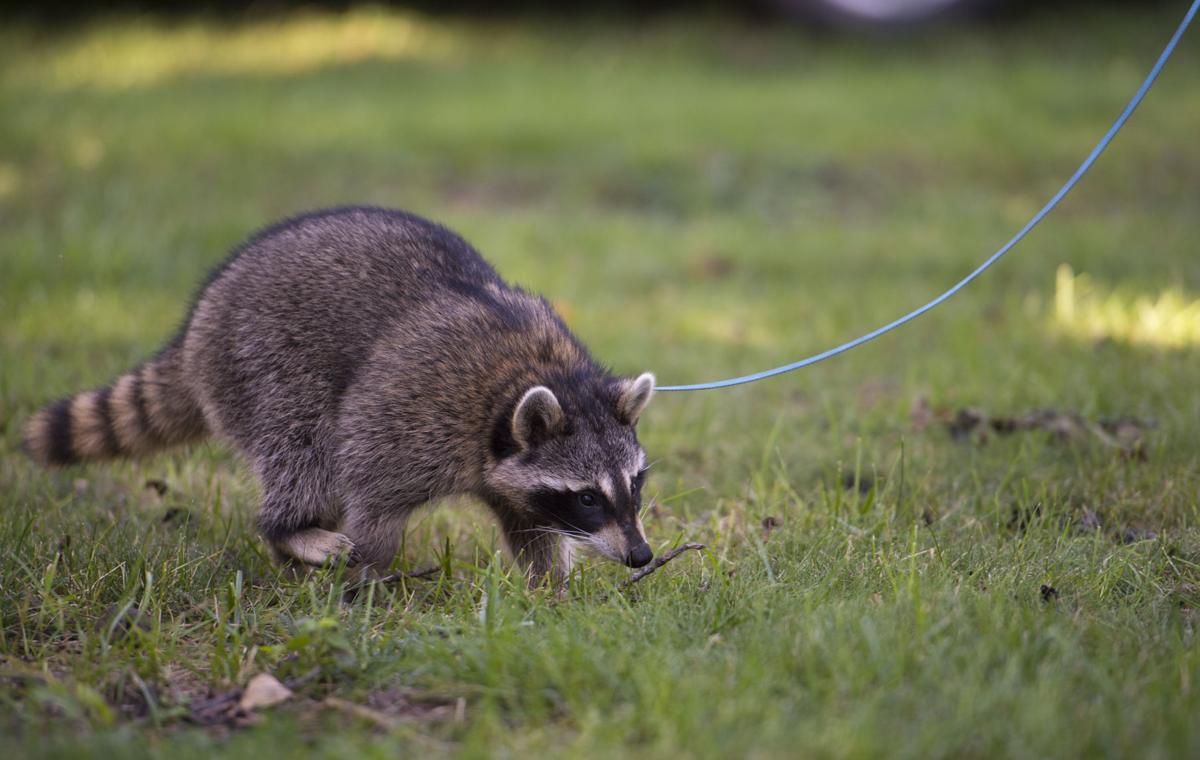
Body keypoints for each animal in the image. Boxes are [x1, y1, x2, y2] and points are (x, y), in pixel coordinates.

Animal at [23, 207, 657, 581]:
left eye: (634, 485)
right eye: (587, 498)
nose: (642, 556)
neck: (535, 372)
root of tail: (197, 324)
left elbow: (530, 526)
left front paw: (551, 594)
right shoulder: (414, 404)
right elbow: (367, 479)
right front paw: (369, 573)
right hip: (261, 361)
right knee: (305, 449)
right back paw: (291, 532)